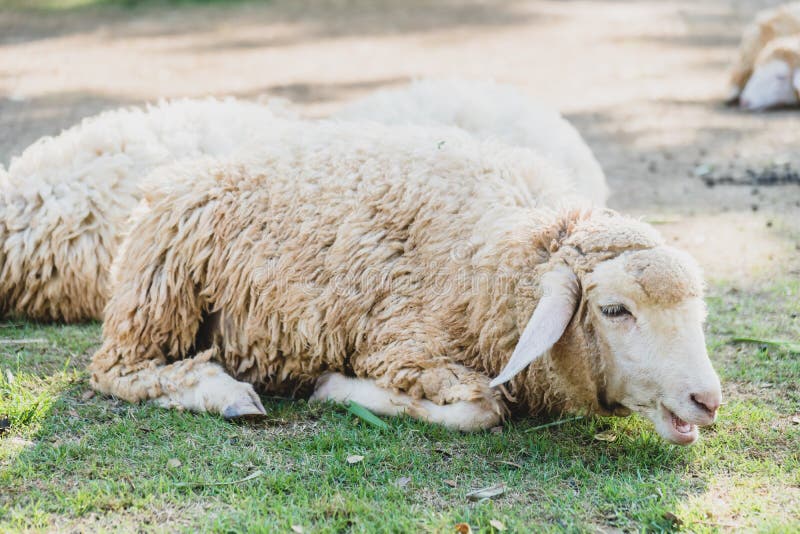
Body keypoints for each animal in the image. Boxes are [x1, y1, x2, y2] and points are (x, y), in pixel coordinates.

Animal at [89, 119, 721, 445]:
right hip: (158, 296)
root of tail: (174, 180)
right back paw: (225, 394)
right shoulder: (405, 345)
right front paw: (335, 388)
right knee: (118, 371)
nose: (707, 401)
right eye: (615, 310)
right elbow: (483, 409)